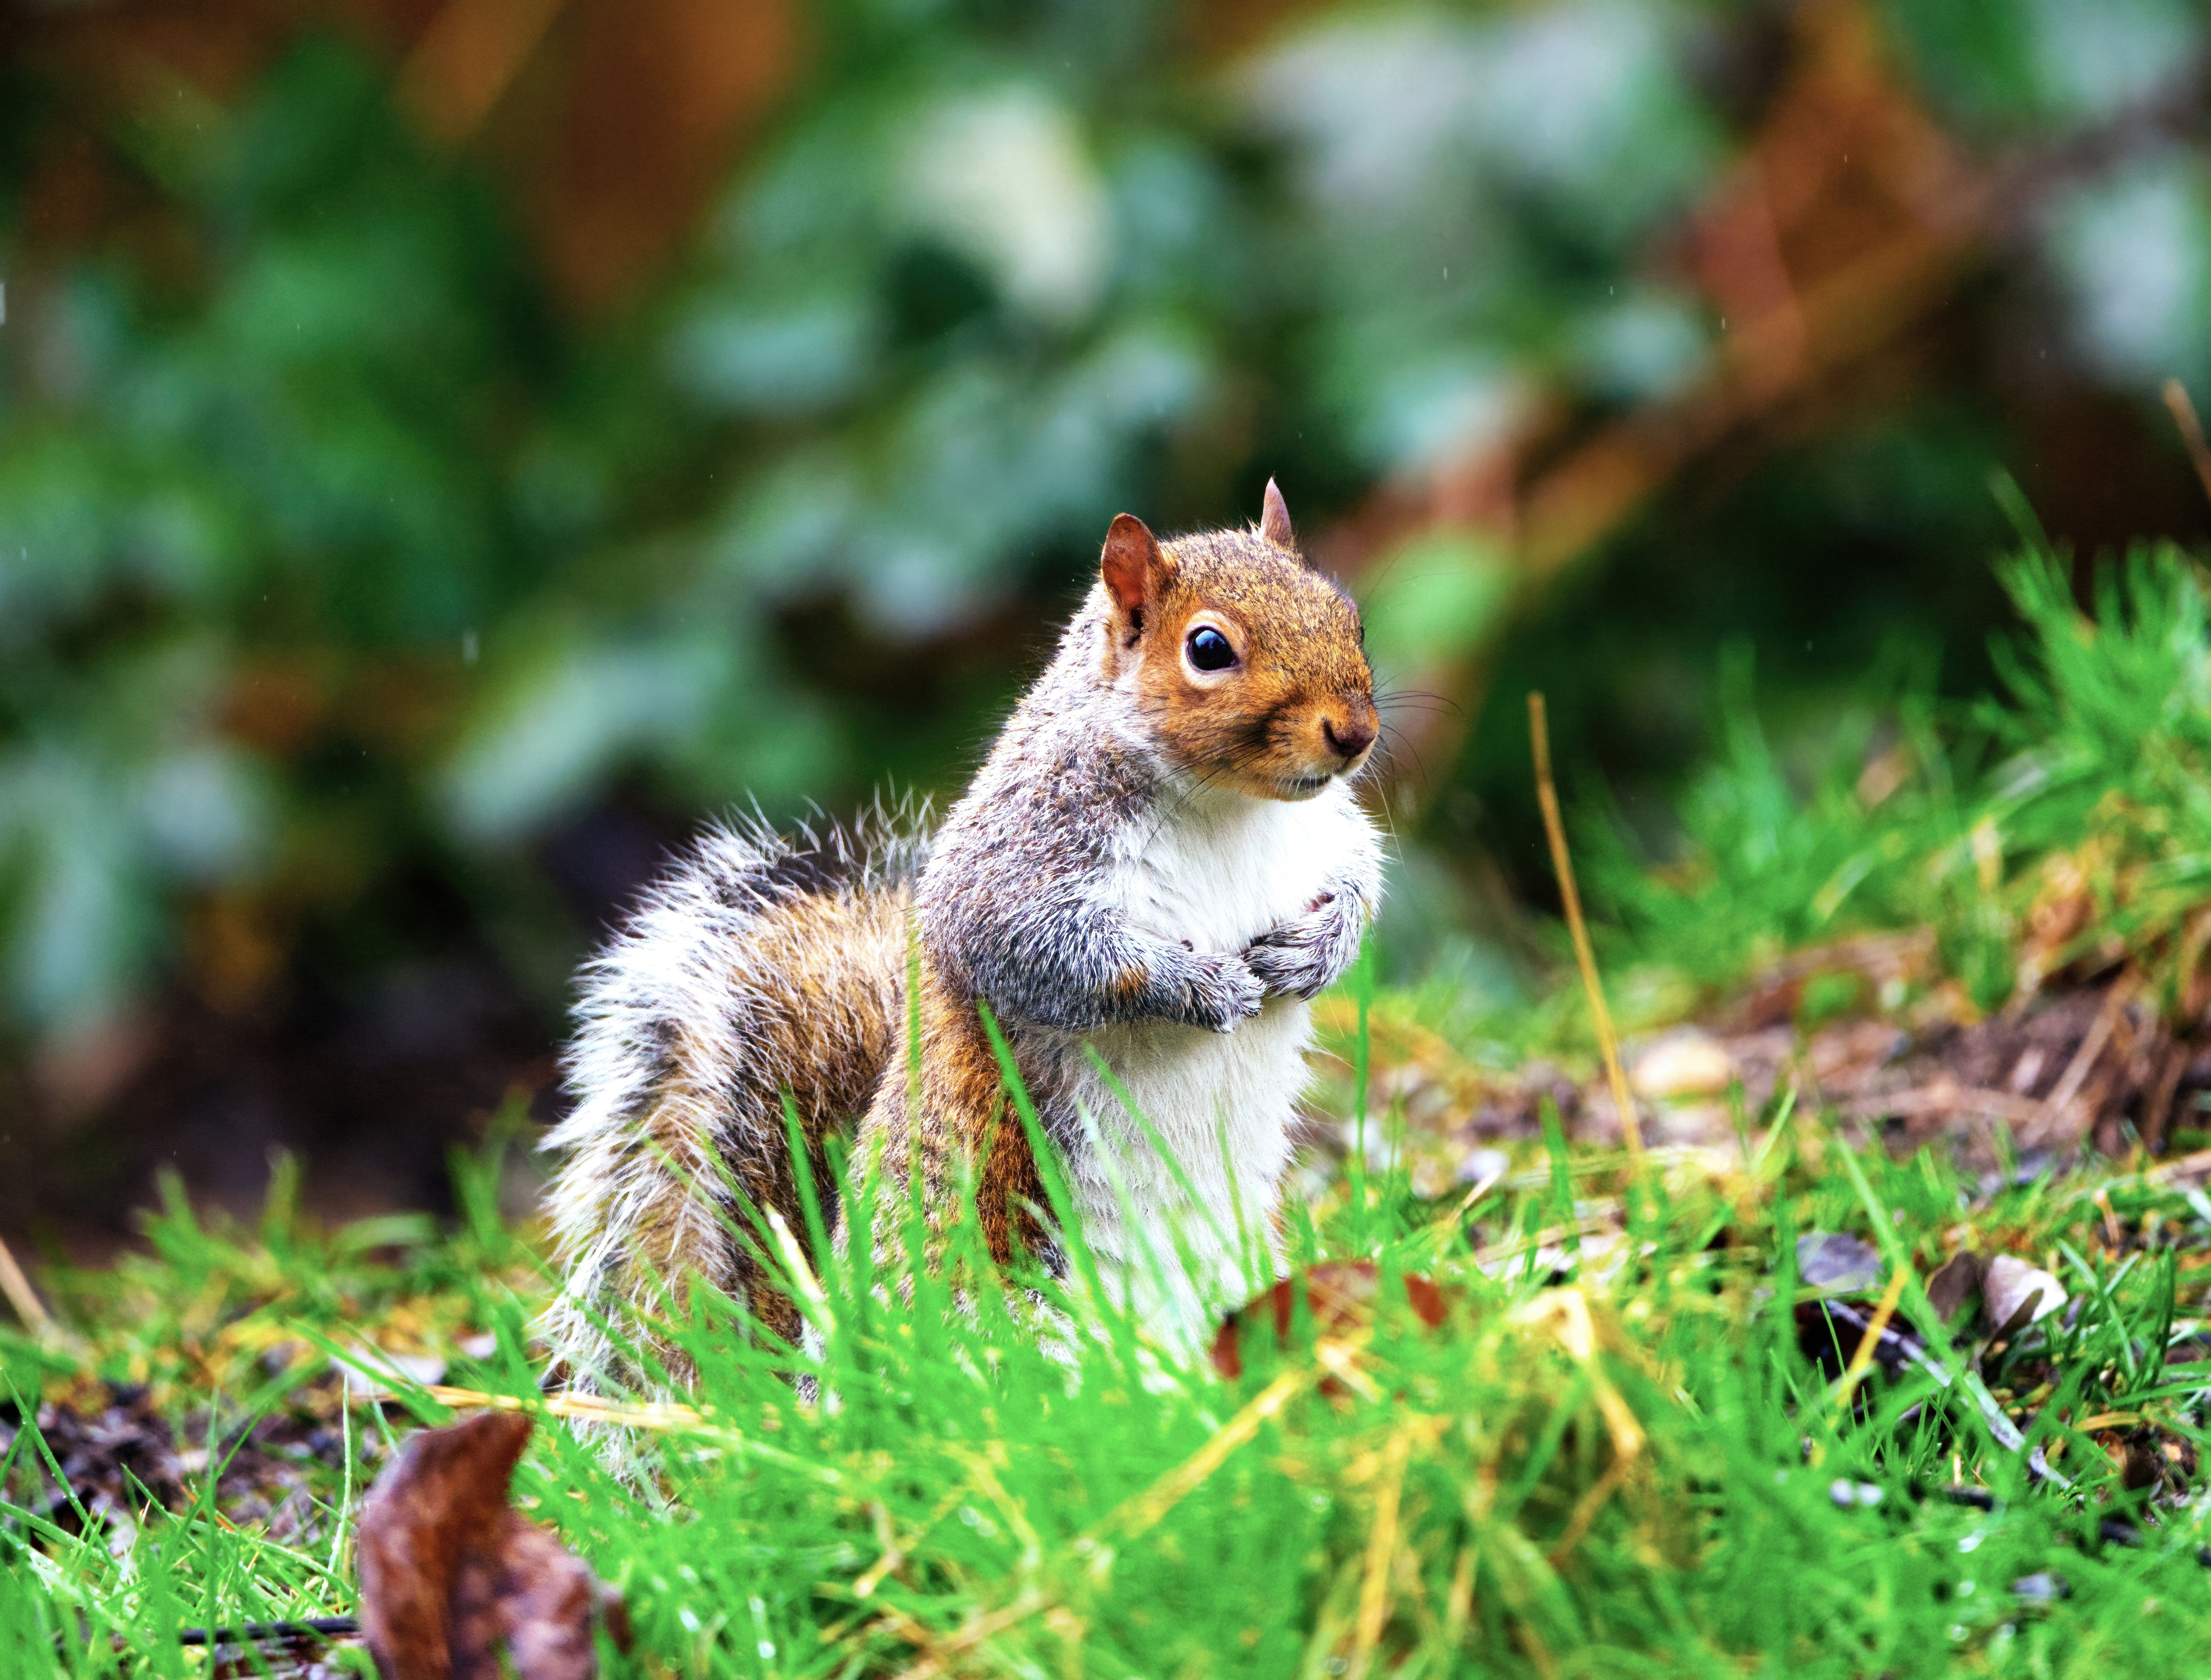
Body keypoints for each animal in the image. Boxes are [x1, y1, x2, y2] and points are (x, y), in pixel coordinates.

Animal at [542, 482, 1383, 1389]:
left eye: (1347, 613)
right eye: (1208, 648)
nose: (1355, 733)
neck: (1232, 808)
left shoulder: (1325, 836)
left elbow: (1363, 879)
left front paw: (1321, 948)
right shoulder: (1014, 862)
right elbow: (1034, 951)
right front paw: (1195, 986)